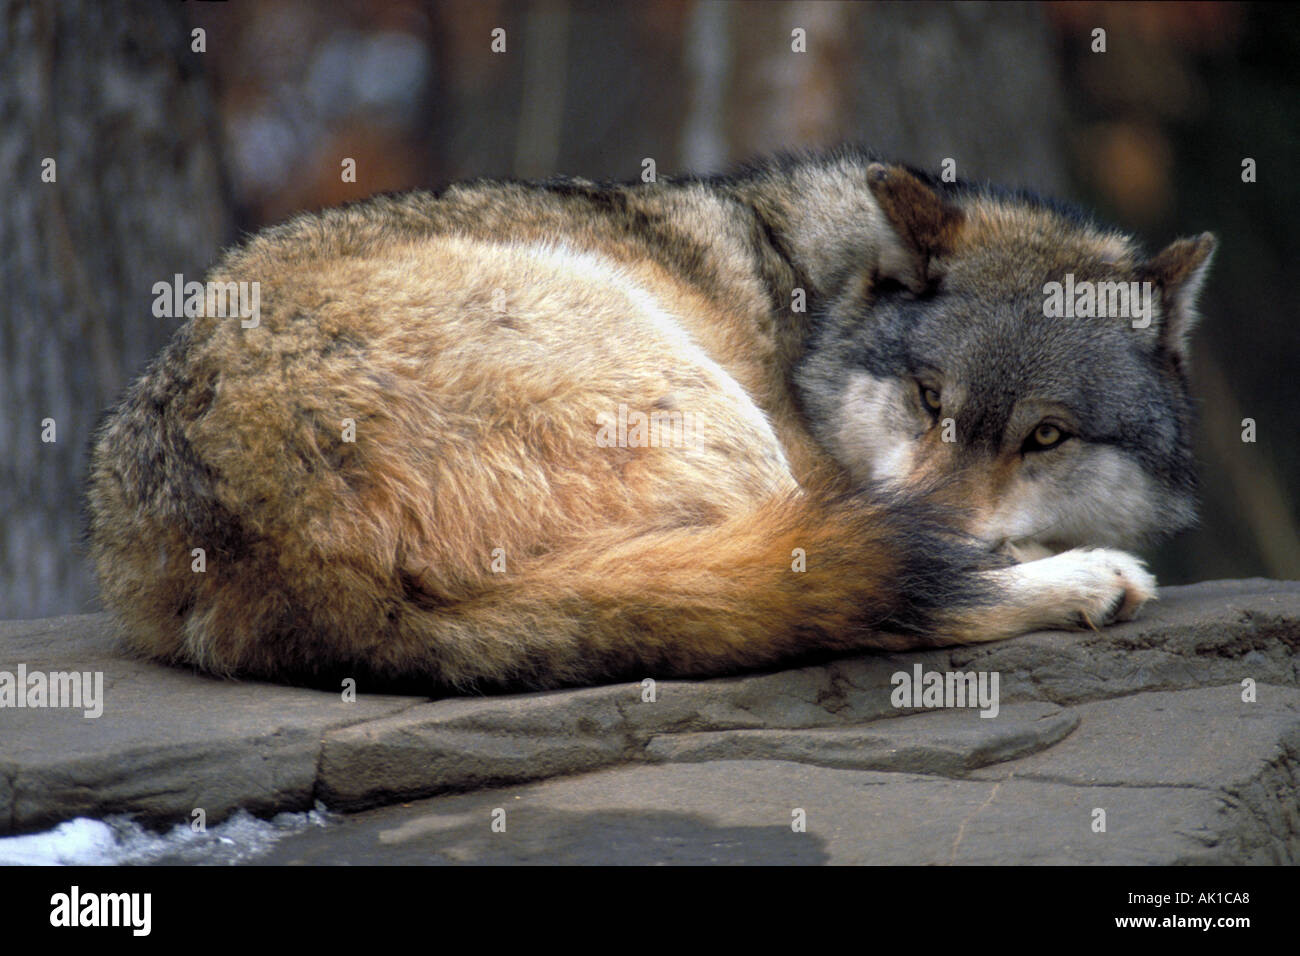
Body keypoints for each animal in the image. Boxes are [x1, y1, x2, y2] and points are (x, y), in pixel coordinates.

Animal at [85, 147, 1216, 691]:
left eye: (1045, 436)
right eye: (929, 399)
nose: (947, 517)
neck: (807, 308)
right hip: (693, 396)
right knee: (870, 603)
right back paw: (1082, 580)